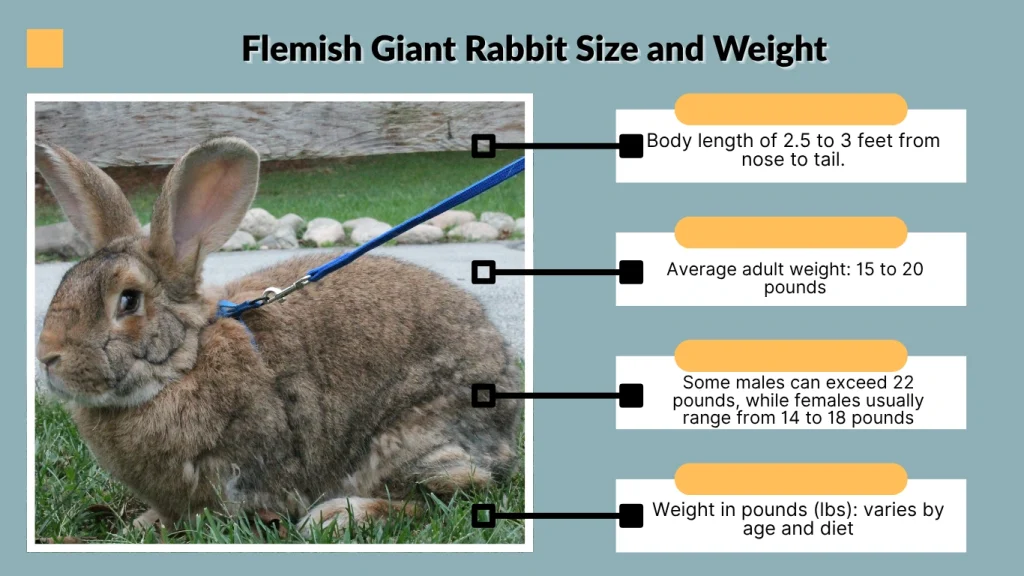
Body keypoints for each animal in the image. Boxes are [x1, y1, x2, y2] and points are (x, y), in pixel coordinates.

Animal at [34, 137, 523, 536]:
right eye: (66, 281)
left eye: (129, 301)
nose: (46, 357)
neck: (184, 365)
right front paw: (147, 522)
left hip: (412, 440)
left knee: (456, 489)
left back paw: (338, 516)